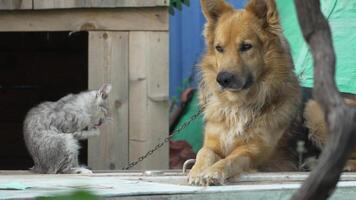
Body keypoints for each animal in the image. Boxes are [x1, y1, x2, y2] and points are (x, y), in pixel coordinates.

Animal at [188, 0, 302, 185]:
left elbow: (231, 159)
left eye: (246, 47)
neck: (237, 104)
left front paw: (213, 172)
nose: (222, 79)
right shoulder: (212, 143)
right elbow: (203, 153)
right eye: (219, 48)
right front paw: (197, 171)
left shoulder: (252, 152)